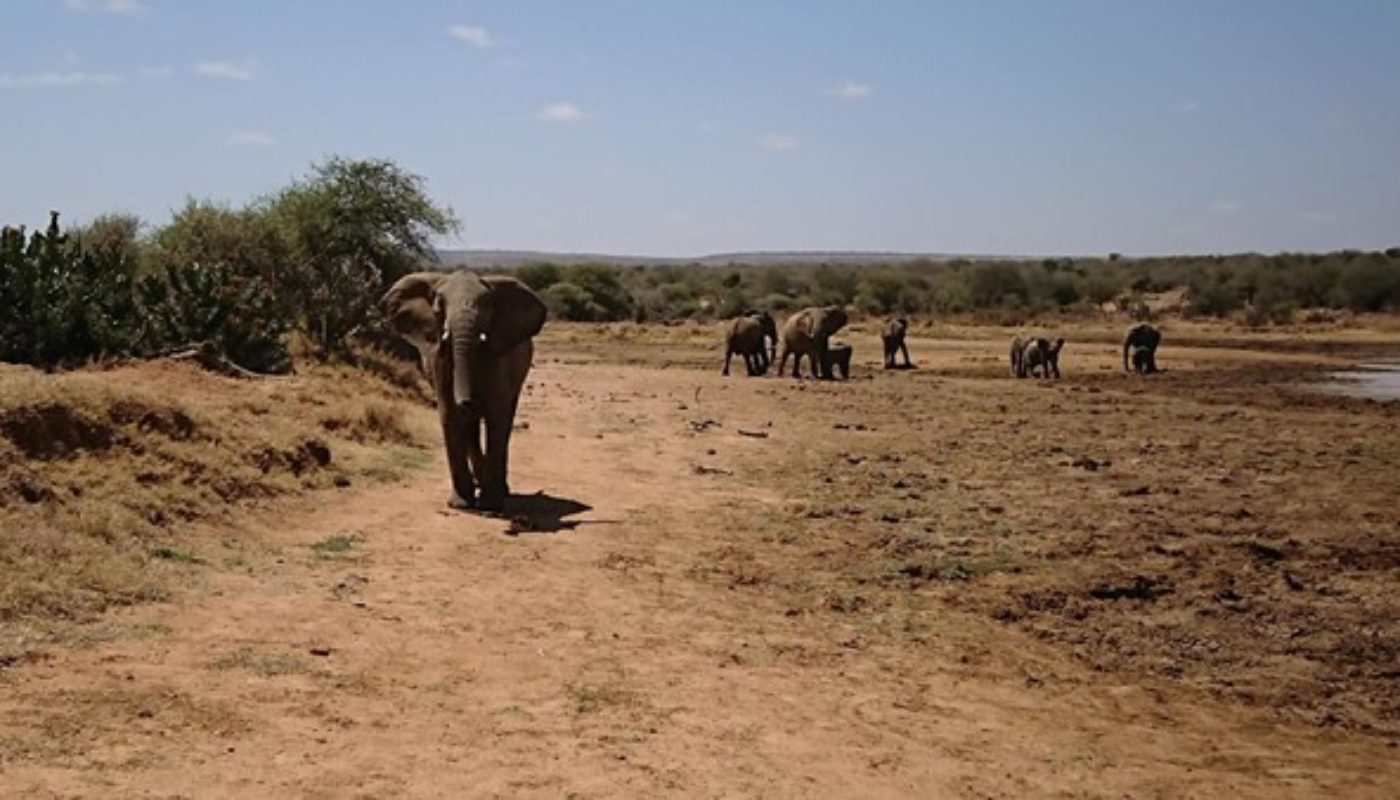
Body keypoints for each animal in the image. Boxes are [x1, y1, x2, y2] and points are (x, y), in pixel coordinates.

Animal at [380, 271, 547, 512]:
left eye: (488, 303)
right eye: (439, 303)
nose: (468, 402)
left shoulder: (498, 357)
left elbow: (497, 417)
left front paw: (491, 505)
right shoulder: (439, 356)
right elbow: (450, 413)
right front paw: (460, 505)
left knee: (506, 417)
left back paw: (500, 489)